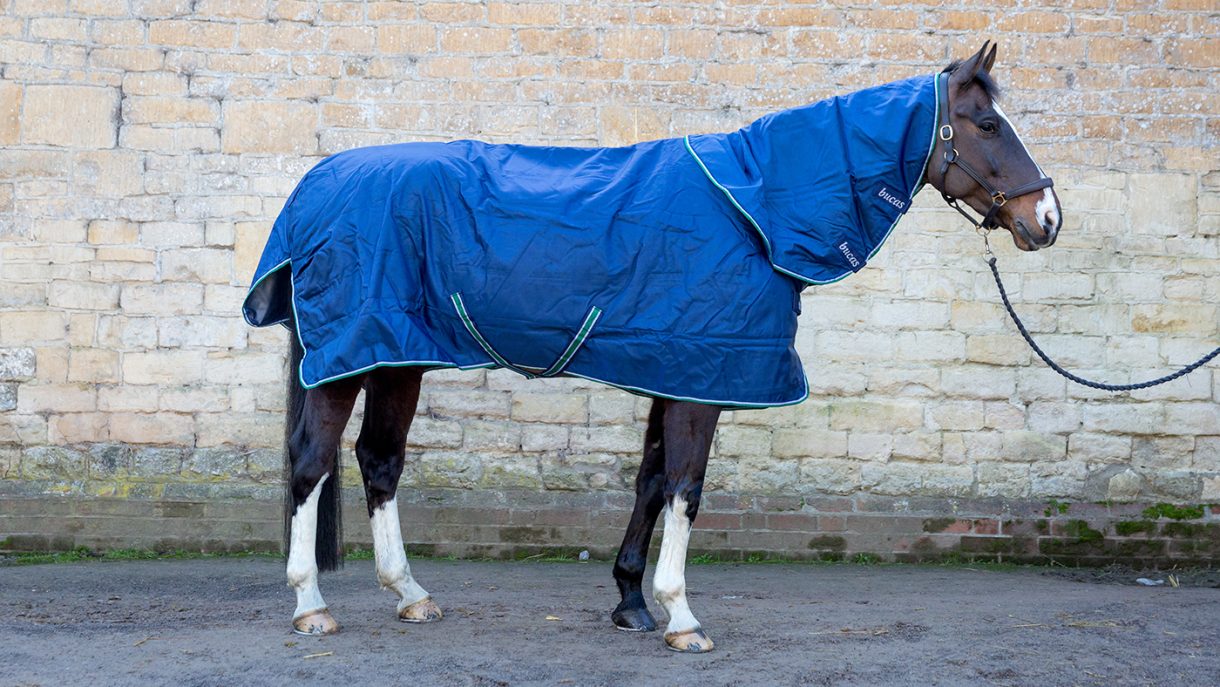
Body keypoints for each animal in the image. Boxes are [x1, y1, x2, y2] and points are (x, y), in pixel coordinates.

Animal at [241, 42, 1062, 652]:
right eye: (987, 124)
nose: (1047, 217)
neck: (757, 208)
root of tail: (316, 185)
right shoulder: (705, 374)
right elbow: (686, 488)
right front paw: (681, 616)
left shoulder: (678, 371)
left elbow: (650, 480)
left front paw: (631, 601)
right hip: (345, 361)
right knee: (311, 464)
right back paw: (311, 605)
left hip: (394, 356)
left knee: (379, 461)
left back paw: (411, 595)